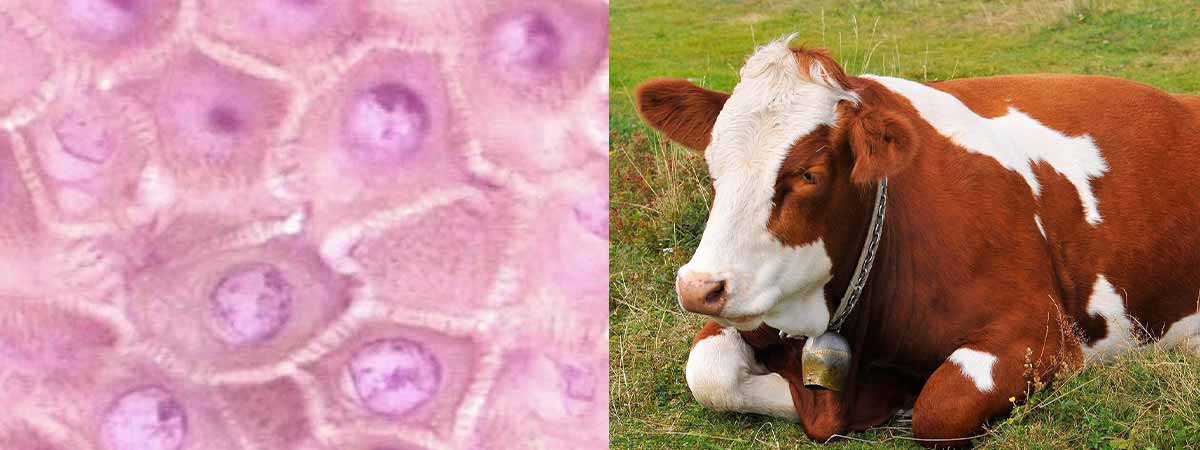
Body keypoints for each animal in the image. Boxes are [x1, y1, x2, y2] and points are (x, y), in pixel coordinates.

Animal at [634, 36, 1200, 447]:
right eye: (712, 165)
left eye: (809, 174)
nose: (699, 287)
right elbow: (708, 372)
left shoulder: (1043, 335)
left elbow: (939, 408)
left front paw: (901, 402)